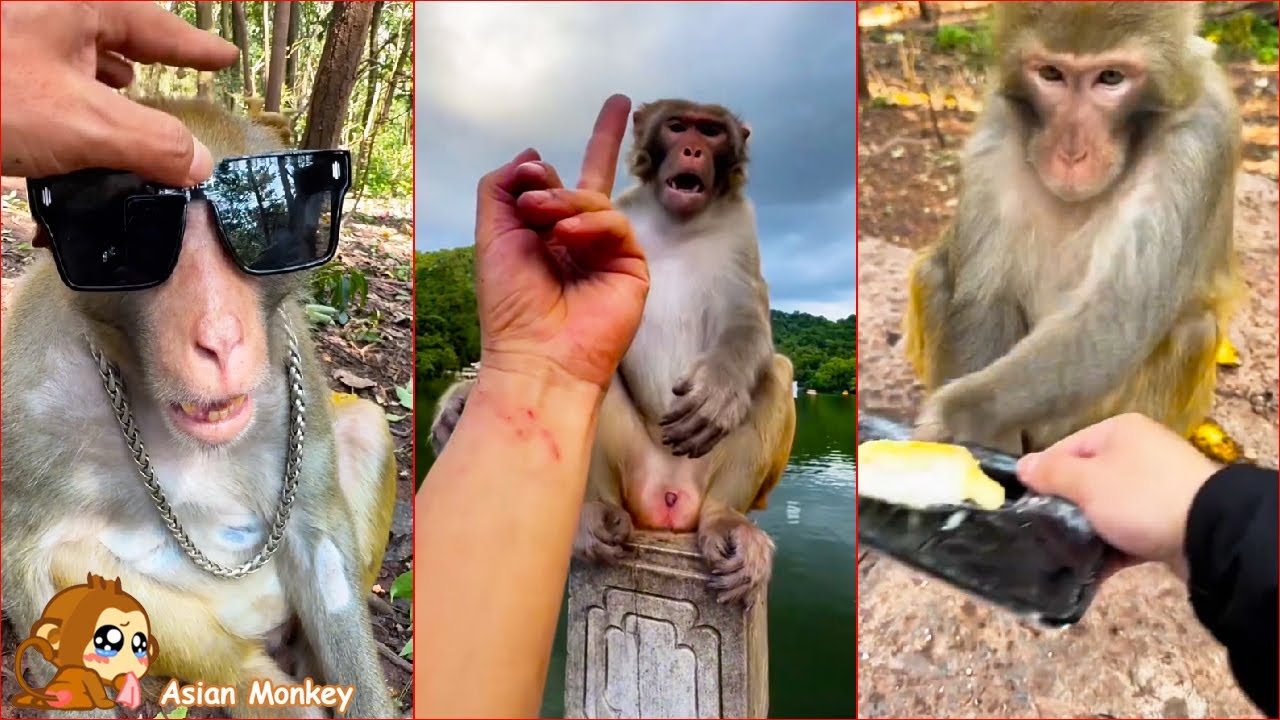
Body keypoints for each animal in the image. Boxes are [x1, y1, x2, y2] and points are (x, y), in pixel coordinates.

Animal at [431, 99, 797, 606]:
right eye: (678, 126)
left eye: (711, 131)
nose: (692, 149)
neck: (677, 225)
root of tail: (667, 501)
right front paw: (459, 400)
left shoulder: (741, 231)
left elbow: (750, 320)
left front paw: (719, 390)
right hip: (634, 475)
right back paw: (595, 511)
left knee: (776, 374)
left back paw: (726, 521)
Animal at [900, 2, 1246, 456]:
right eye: (1051, 74)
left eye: (1111, 78)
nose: (1072, 152)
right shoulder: (998, 120)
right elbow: (986, 296)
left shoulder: (1203, 134)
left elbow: (1115, 318)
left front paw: (957, 417)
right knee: (937, 272)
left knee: (1193, 331)